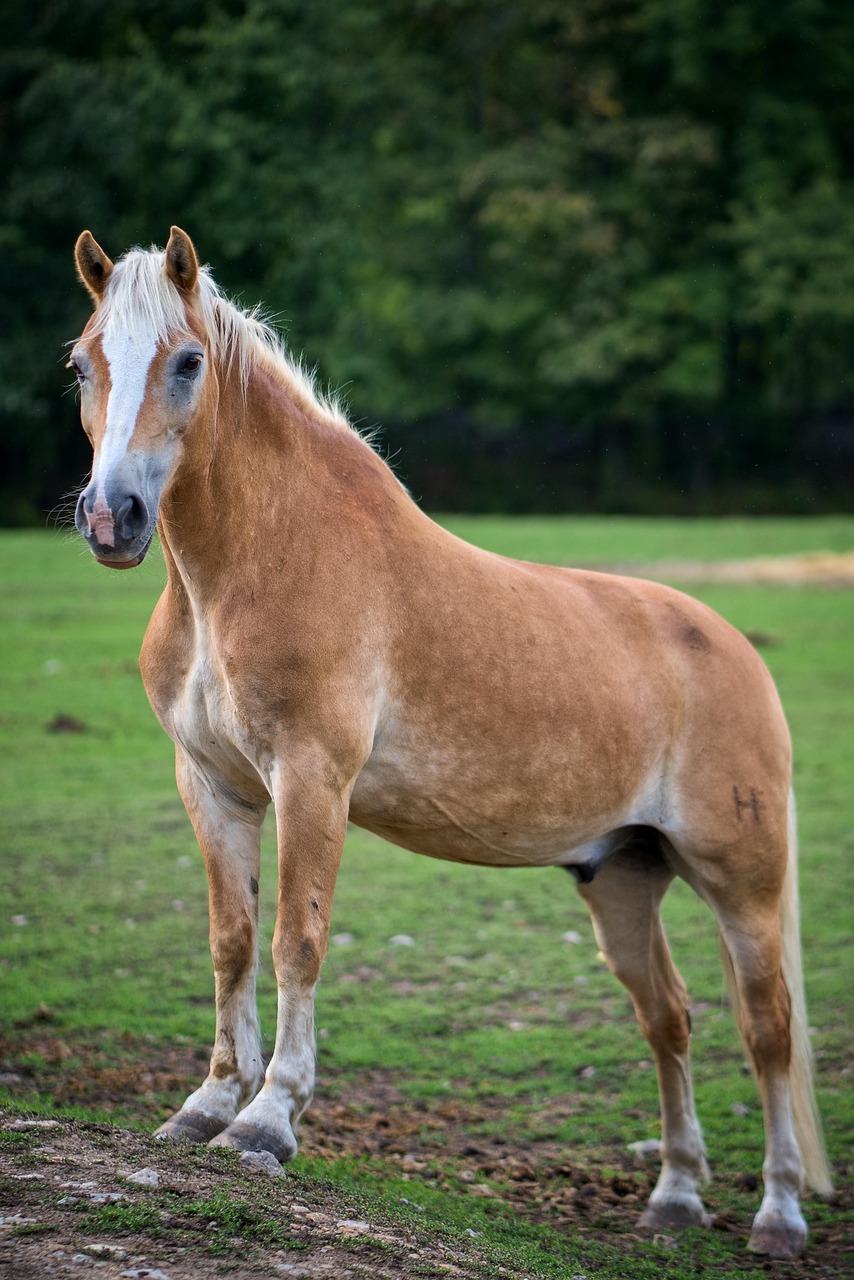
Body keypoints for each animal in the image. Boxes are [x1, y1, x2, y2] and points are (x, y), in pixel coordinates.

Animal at [69, 226, 831, 1258]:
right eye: (82, 363)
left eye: (187, 362)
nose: (113, 518)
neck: (254, 564)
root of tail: (738, 654)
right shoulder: (214, 786)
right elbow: (232, 942)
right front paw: (206, 1106)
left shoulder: (311, 780)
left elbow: (295, 939)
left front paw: (267, 1122)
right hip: (624, 875)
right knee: (667, 1020)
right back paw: (673, 1197)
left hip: (741, 880)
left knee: (768, 1030)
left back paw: (779, 1214)